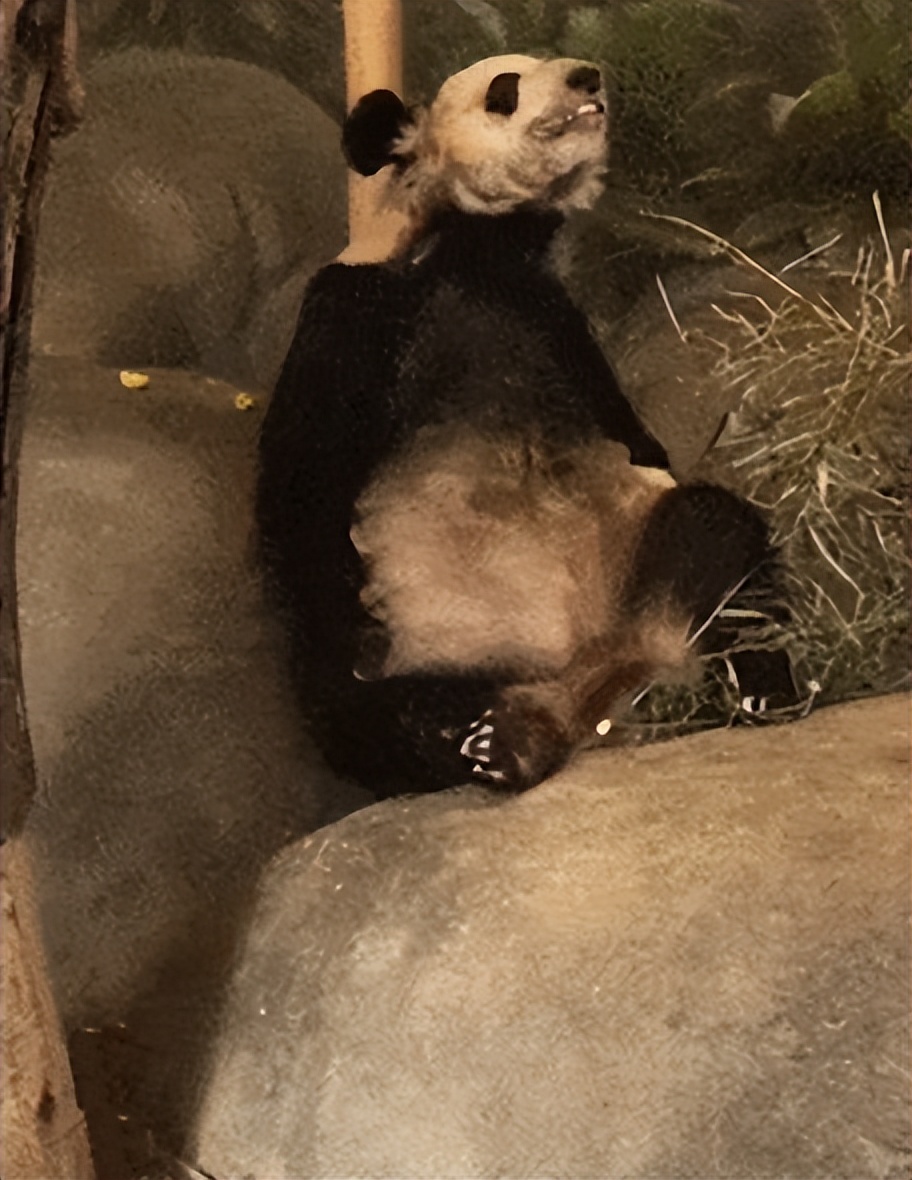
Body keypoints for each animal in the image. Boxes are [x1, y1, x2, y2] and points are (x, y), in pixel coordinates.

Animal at [257, 54, 793, 796]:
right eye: (503, 91)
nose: (587, 77)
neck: (480, 247)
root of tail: (589, 672)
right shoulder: (355, 308)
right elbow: (300, 490)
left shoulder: (552, 315)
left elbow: (642, 446)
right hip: (435, 647)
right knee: (371, 712)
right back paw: (489, 743)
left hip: (638, 561)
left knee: (715, 541)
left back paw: (757, 688)